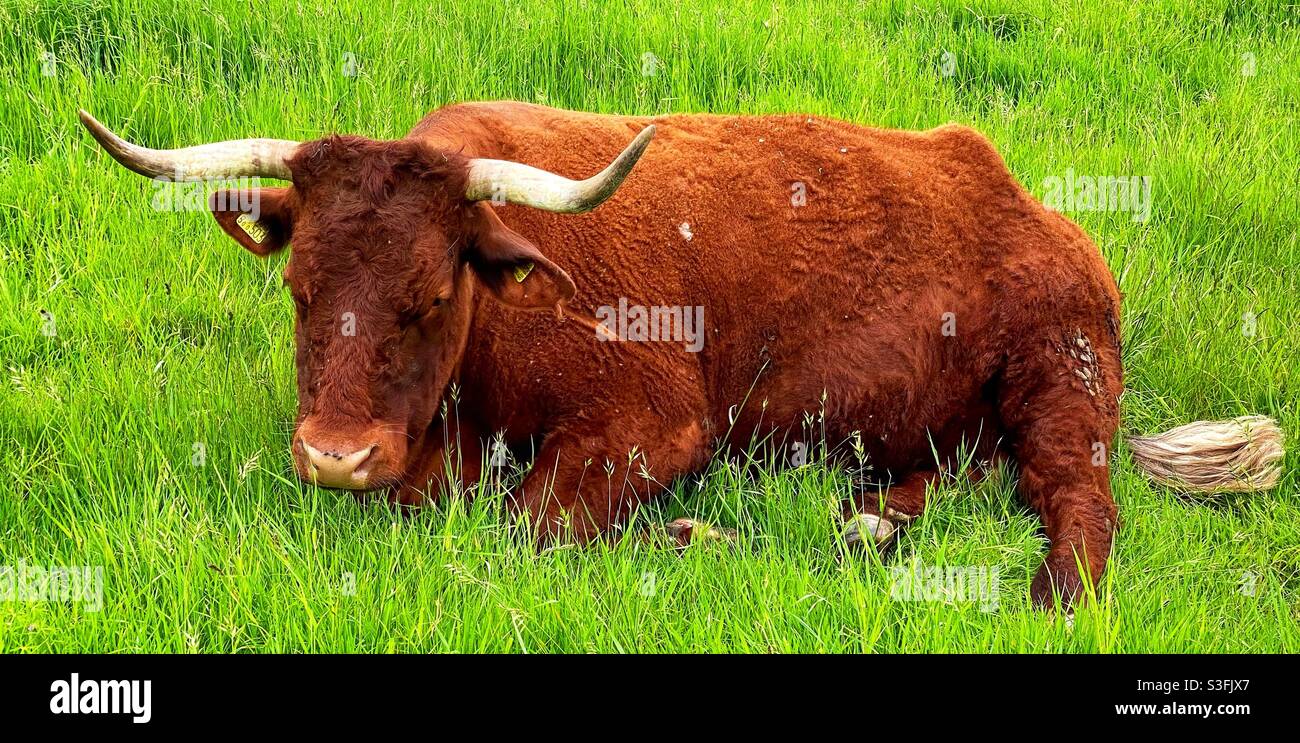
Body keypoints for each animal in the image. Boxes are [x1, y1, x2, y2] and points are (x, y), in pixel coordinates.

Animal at [79, 101, 1283, 608]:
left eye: (428, 297)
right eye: (298, 290)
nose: (336, 456)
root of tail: (1030, 202)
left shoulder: (651, 424)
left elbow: (527, 528)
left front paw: (692, 532)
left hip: (1060, 378)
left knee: (1078, 500)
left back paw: (1051, 594)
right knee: (954, 478)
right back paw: (862, 522)